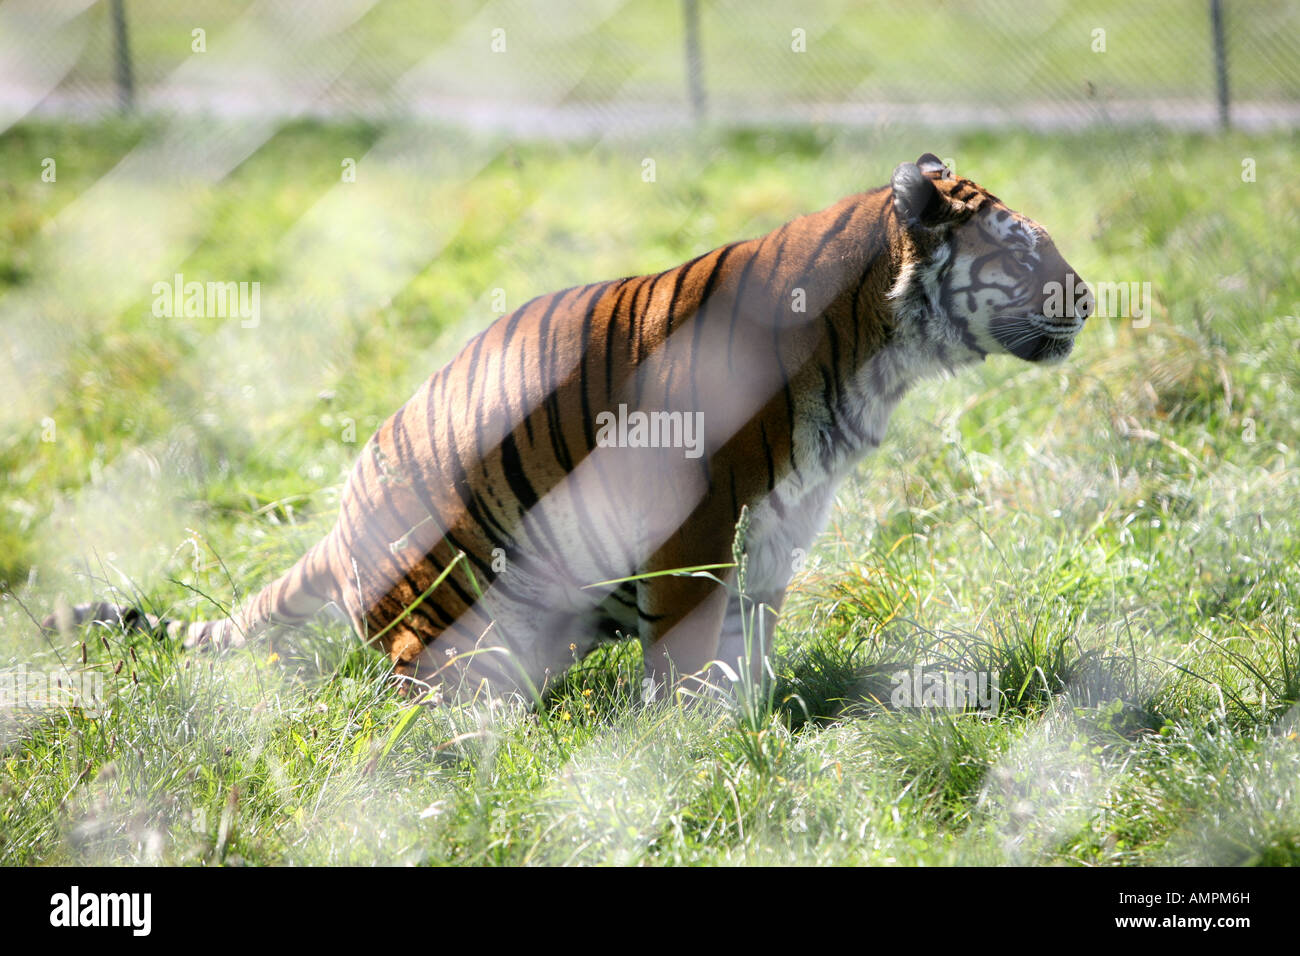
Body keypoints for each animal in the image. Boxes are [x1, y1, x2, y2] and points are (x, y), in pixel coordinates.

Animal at [44, 153, 1091, 701]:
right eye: (1020, 250)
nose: (1087, 296)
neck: (879, 352)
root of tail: (337, 532)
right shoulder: (695, 512)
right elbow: (693, 636)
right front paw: (694, 734)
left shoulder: (778, 520)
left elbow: (752, 627)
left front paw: (755, 716)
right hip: (456, 576)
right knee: (412, 671)